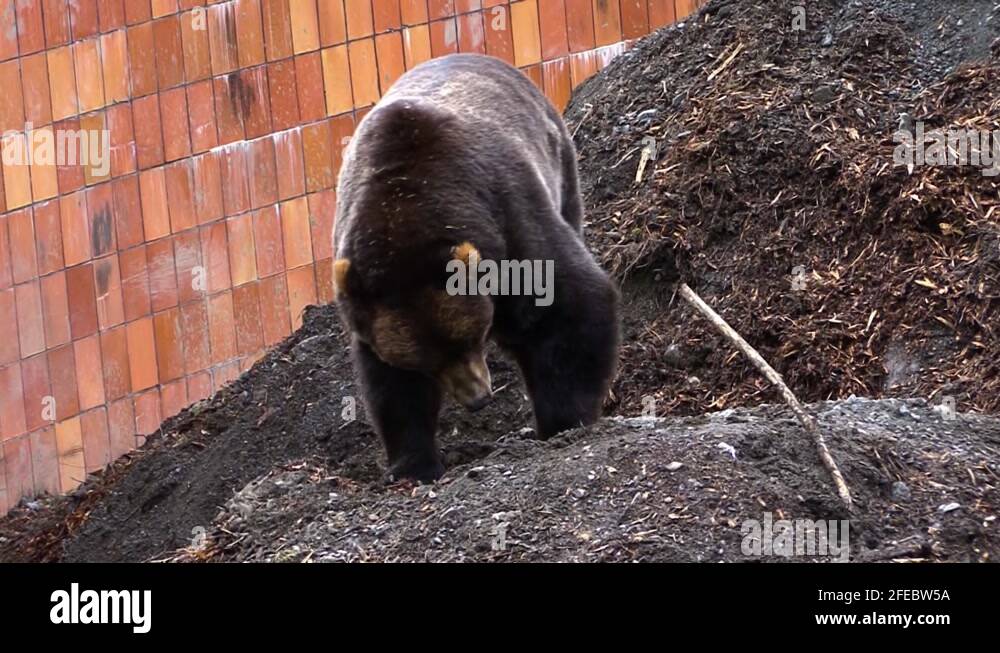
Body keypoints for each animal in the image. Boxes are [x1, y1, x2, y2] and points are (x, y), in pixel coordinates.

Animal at [332, 53, 620, 482]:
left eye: (468, 338)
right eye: (426, 361)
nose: (478, 398)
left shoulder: (508, 217)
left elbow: (569, 304)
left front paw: (565, 420)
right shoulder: (369, 297)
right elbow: (390, 382)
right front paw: (414, 462)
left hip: (560, 164)